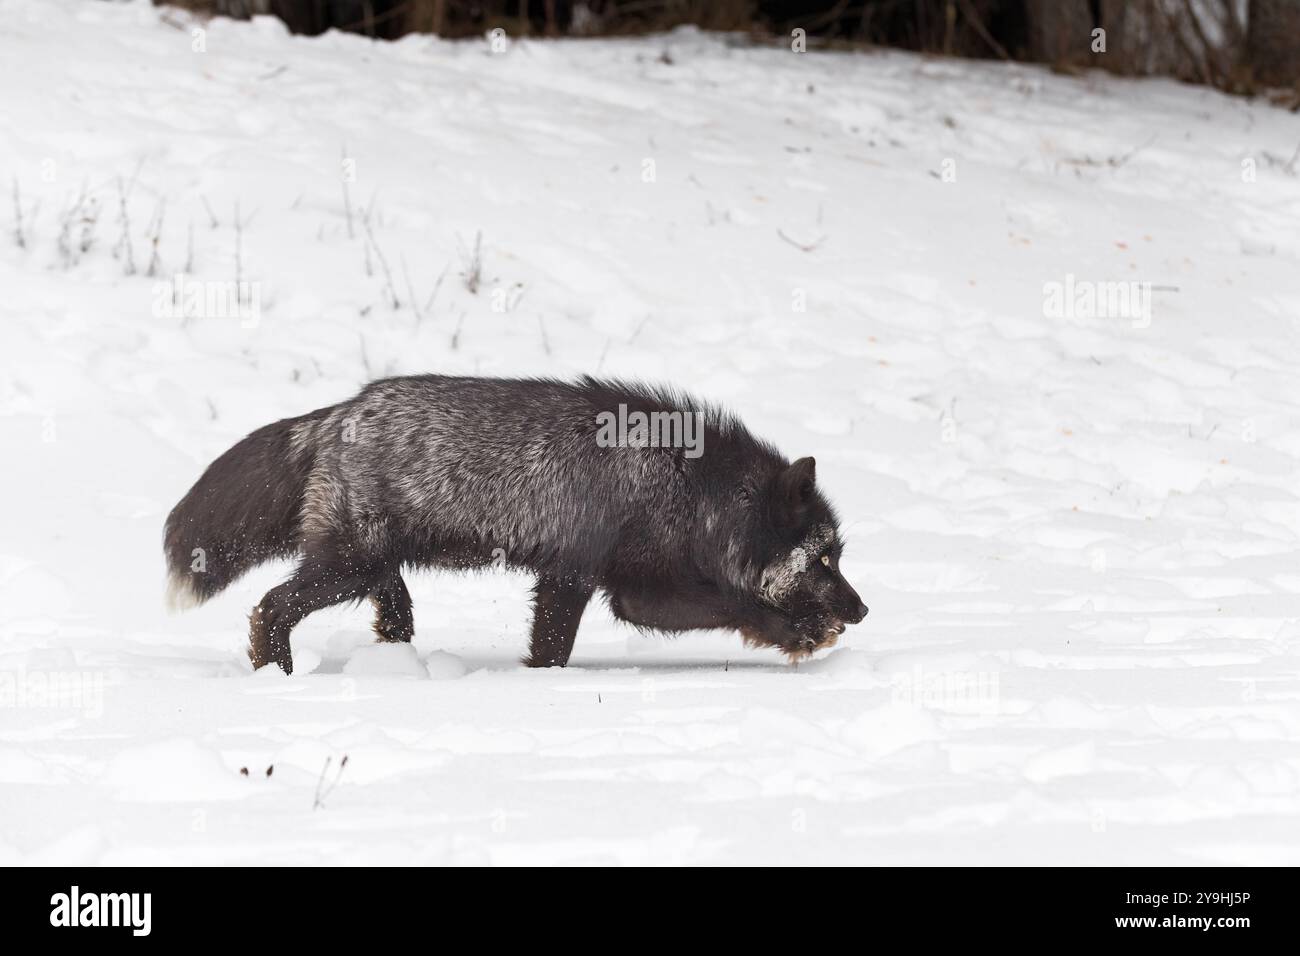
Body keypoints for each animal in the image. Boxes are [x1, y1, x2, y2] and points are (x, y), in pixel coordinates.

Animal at [164, 375, 868, 673]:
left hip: (377, 571)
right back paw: (276, 675)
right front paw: (802, 632)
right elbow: (737, 606)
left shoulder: (588, 584)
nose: (861, 611)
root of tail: (338, 413)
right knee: (269, 608)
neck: (691, 489)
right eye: (824, 559)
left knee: (393, 617)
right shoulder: (620, 587)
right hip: (347, 568)